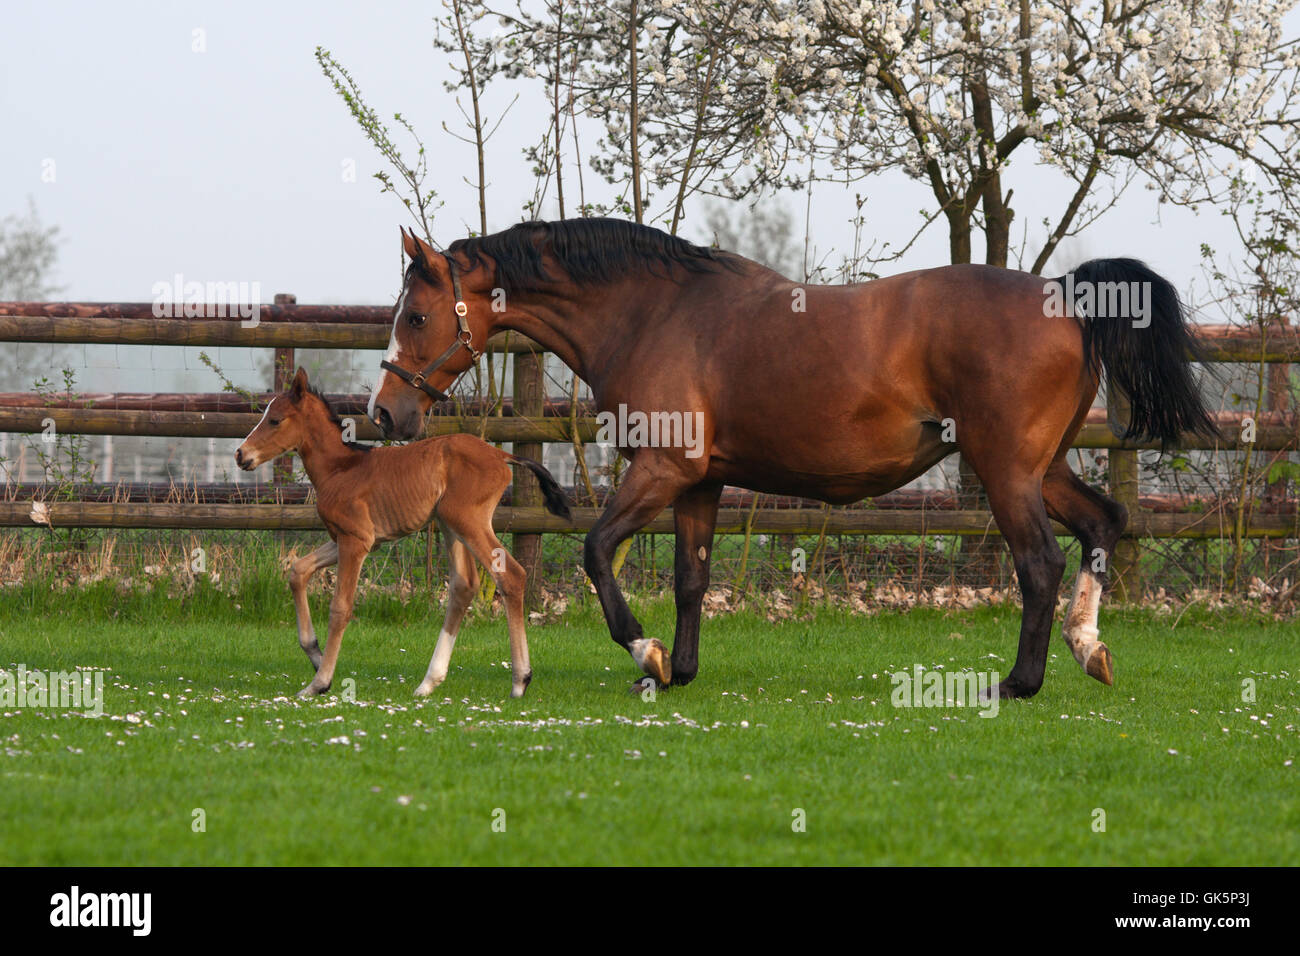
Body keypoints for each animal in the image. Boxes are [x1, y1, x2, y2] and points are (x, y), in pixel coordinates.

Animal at [235, 367, 571, 698]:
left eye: (275, 420)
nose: (240, 454)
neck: (340, 468)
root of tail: (501, 455)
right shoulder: (353, 539)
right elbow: (298, 571)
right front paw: (315, 654)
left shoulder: (355, 541)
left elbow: (340, 607)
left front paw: (320, 681)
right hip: (450, 524)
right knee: (464, 585)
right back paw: (428, 682)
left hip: (468, 521)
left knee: (510, 575)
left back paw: (519, 680)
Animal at [367, 219, 1214, 699]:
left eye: (416, 316)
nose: (384, 413)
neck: (654, 313)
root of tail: (1067, 297)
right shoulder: (700, 484)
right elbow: (691, 579)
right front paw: (681, 668)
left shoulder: (662, 470)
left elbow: (597, 551)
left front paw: (645, 651)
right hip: (1043, 468)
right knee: (1104, 523)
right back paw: (1090, 649)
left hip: (1005, 472)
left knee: (1039, 562)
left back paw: (1022, 682)